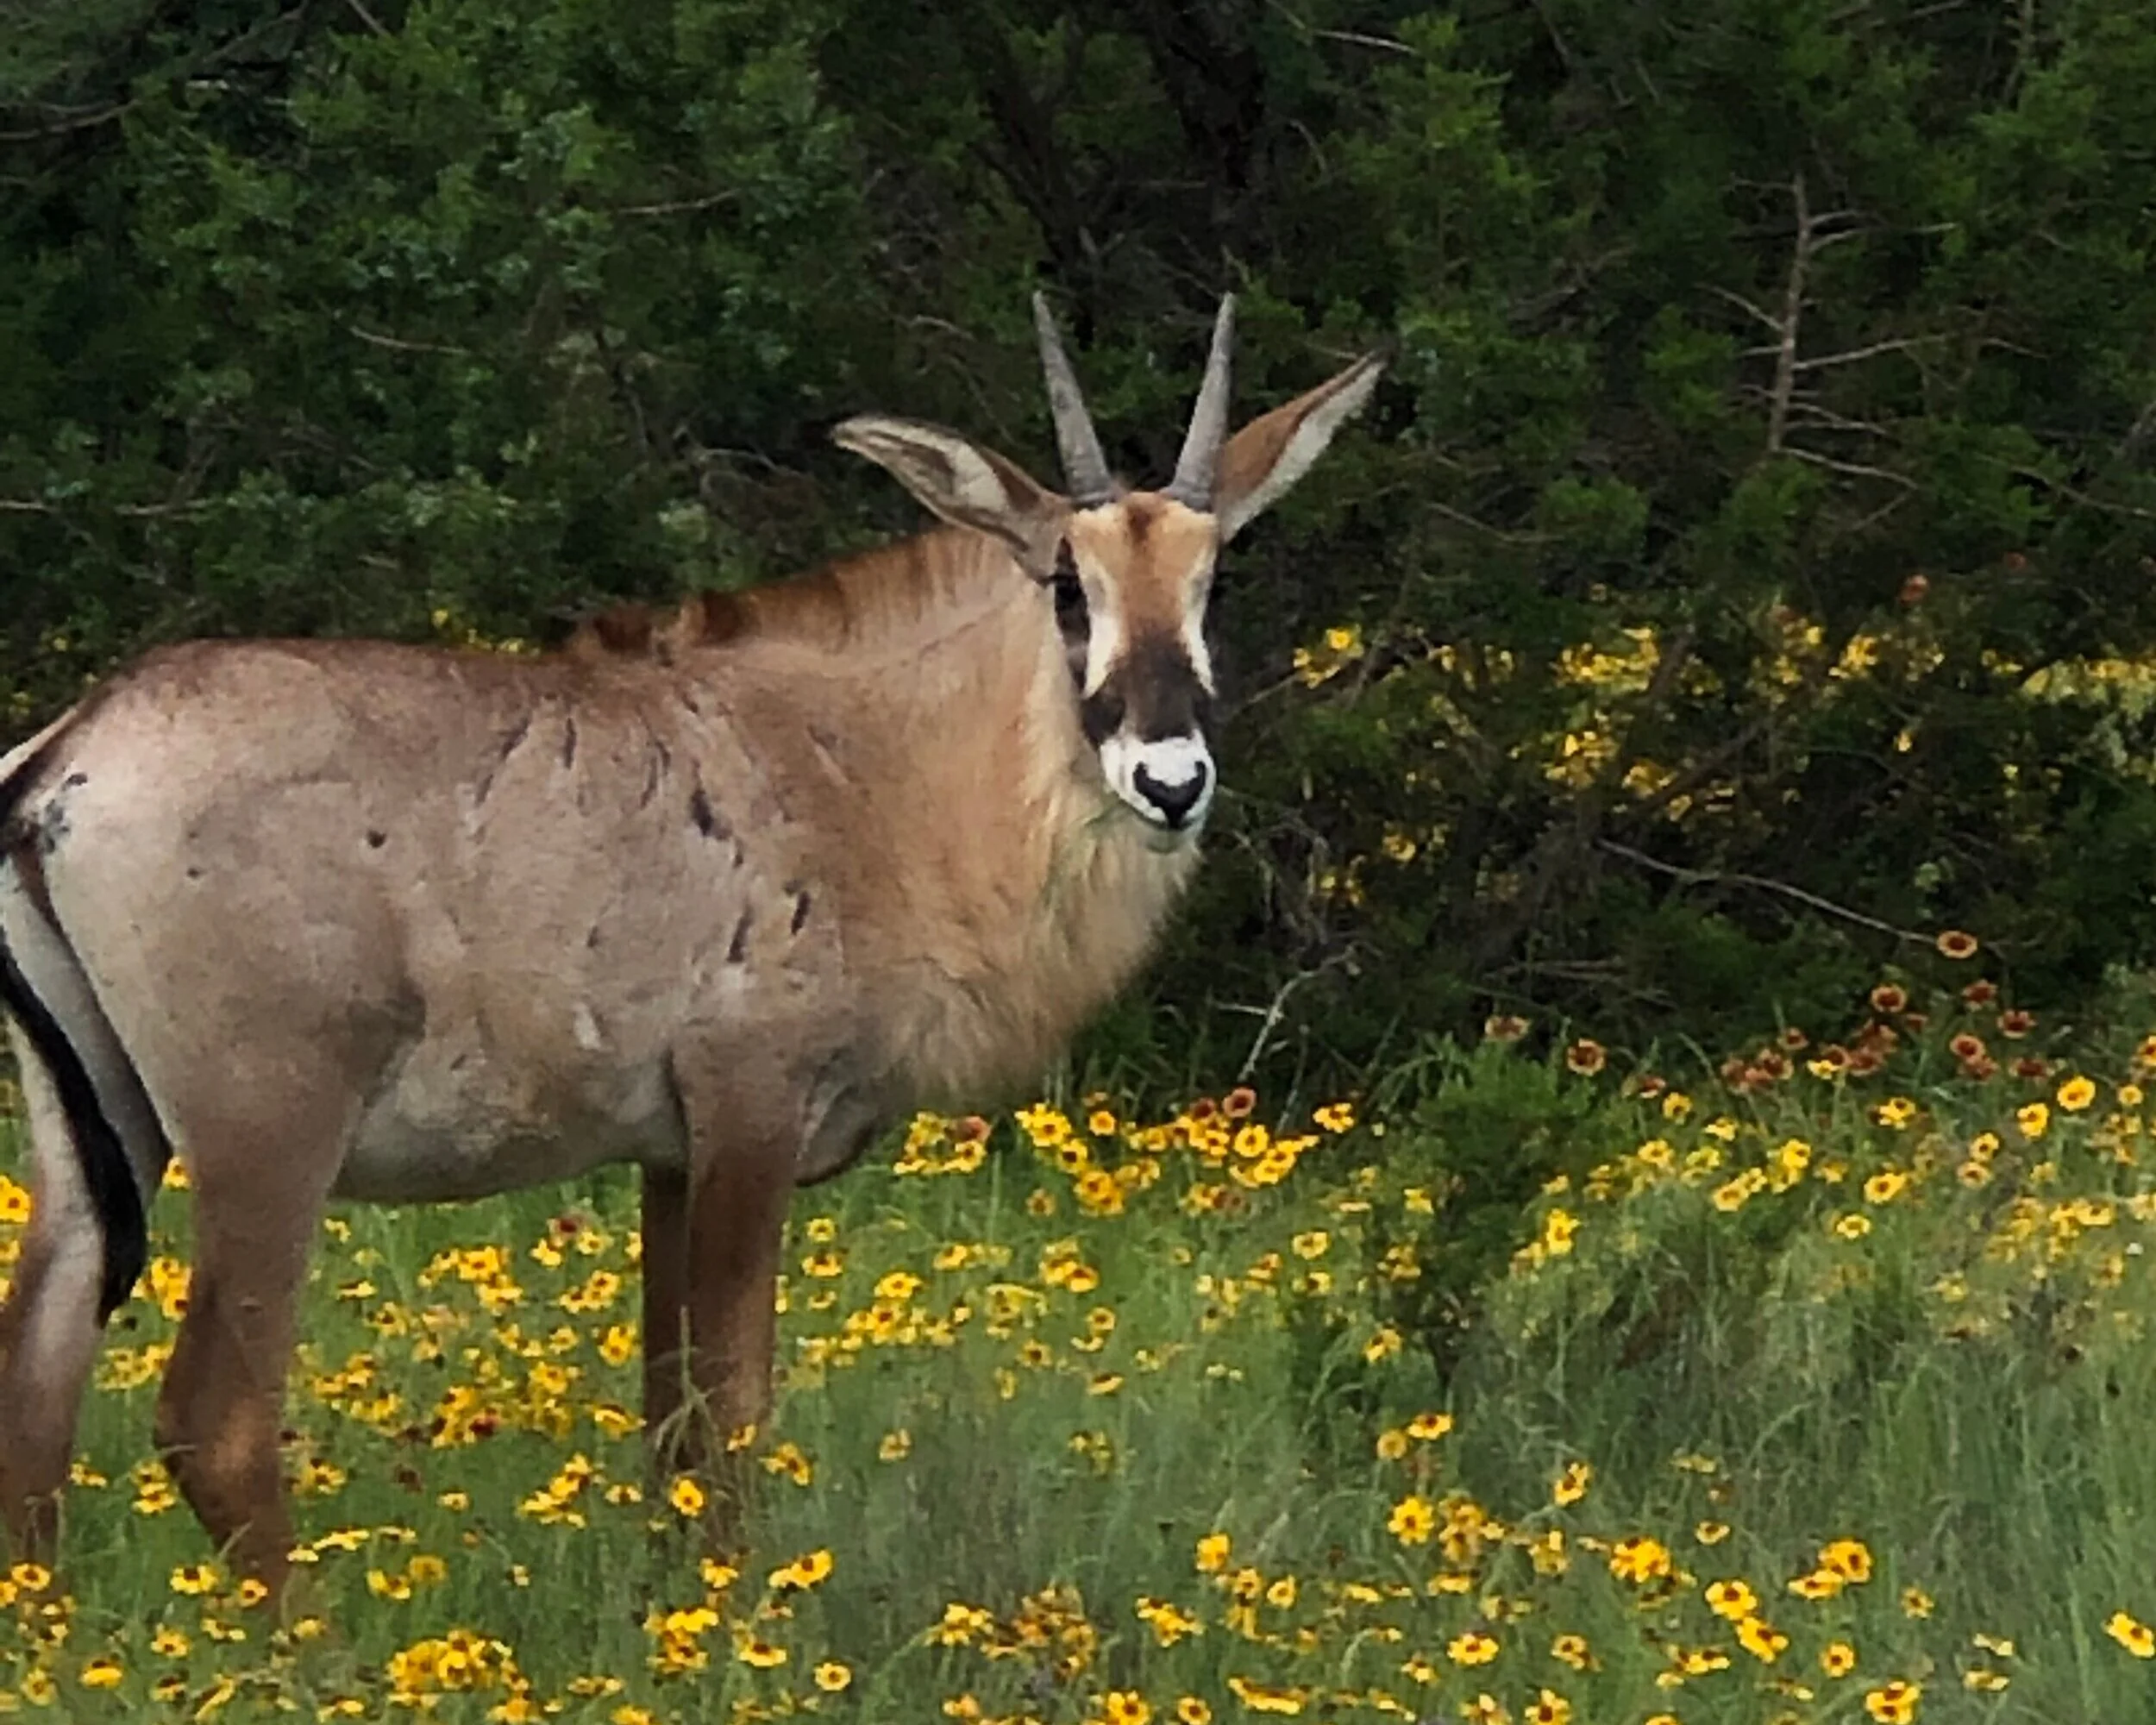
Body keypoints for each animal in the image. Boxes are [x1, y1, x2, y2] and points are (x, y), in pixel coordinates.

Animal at [0, 294, 1381, 1588]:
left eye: (1213, 578)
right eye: (1063, 582)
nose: (1170, 778)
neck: (865, 763)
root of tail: (69, 757)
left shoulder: (664, 1155)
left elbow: (666, 1420)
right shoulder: (746, 1115)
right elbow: (727, 1416)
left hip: (99, 1136)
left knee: (37, 1388)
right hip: (266, 1136)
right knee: (216, 1420)